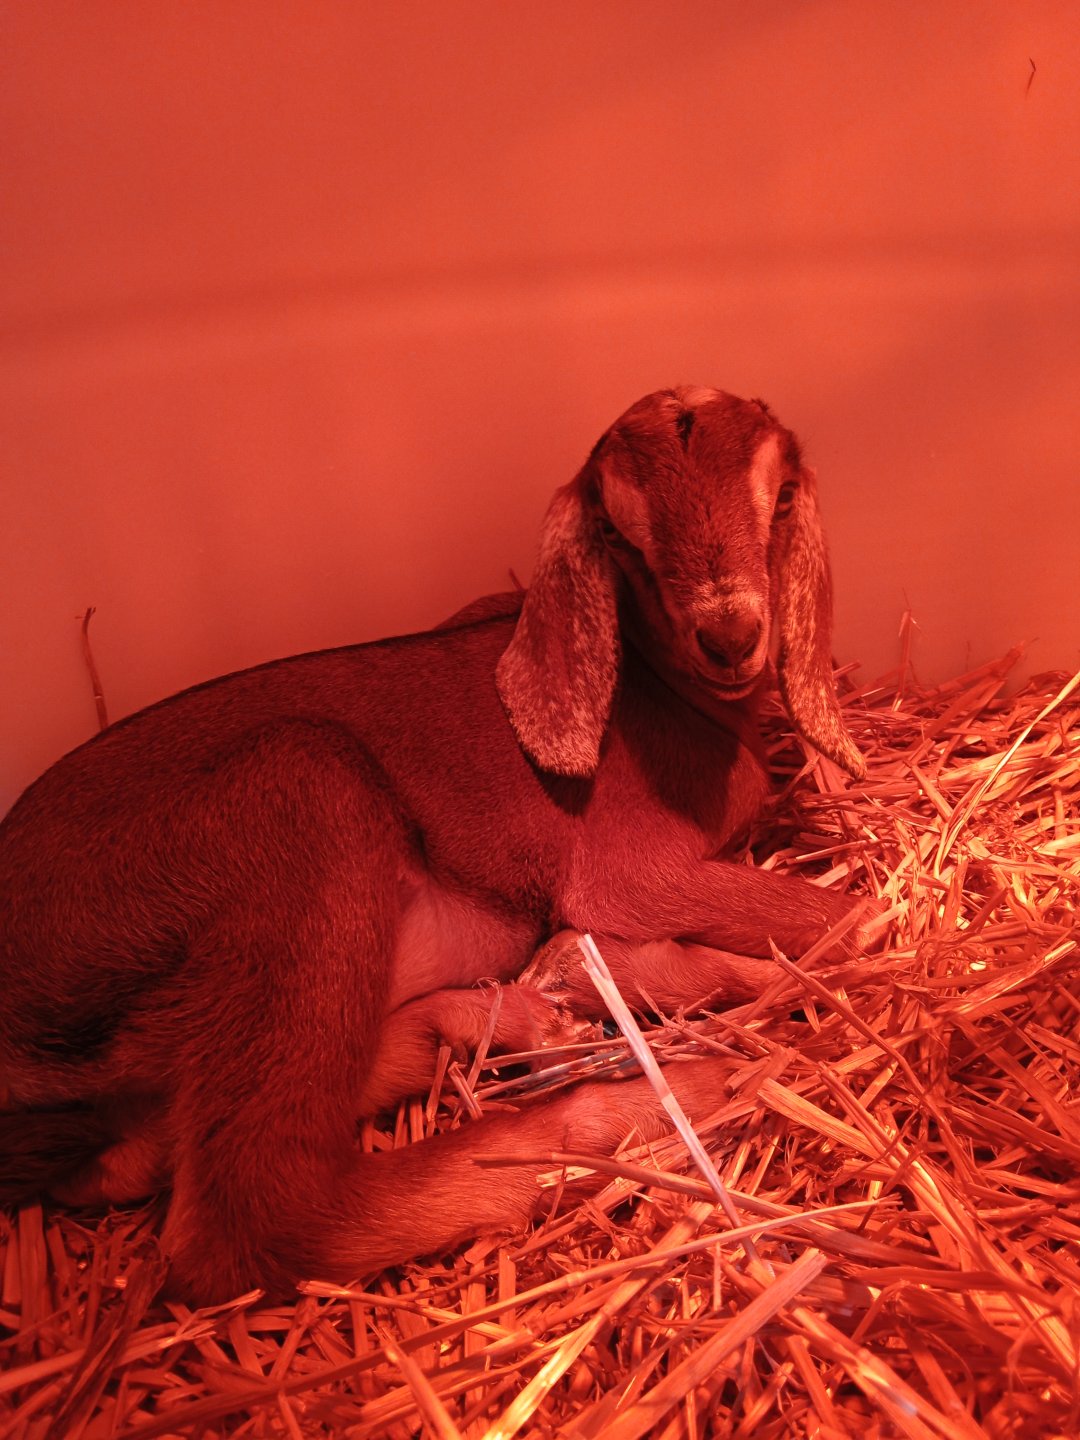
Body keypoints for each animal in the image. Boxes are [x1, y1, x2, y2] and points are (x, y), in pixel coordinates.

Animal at [0, 386, 868, 1302]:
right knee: (250, 1218)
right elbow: (849, 924)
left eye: (780, 499)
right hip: (300, 790)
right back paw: (670, 1092)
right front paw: (620, 977)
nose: (729, 638)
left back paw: (515, 1022)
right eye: (620, 534)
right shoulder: (626, 874)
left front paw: (576, 979)